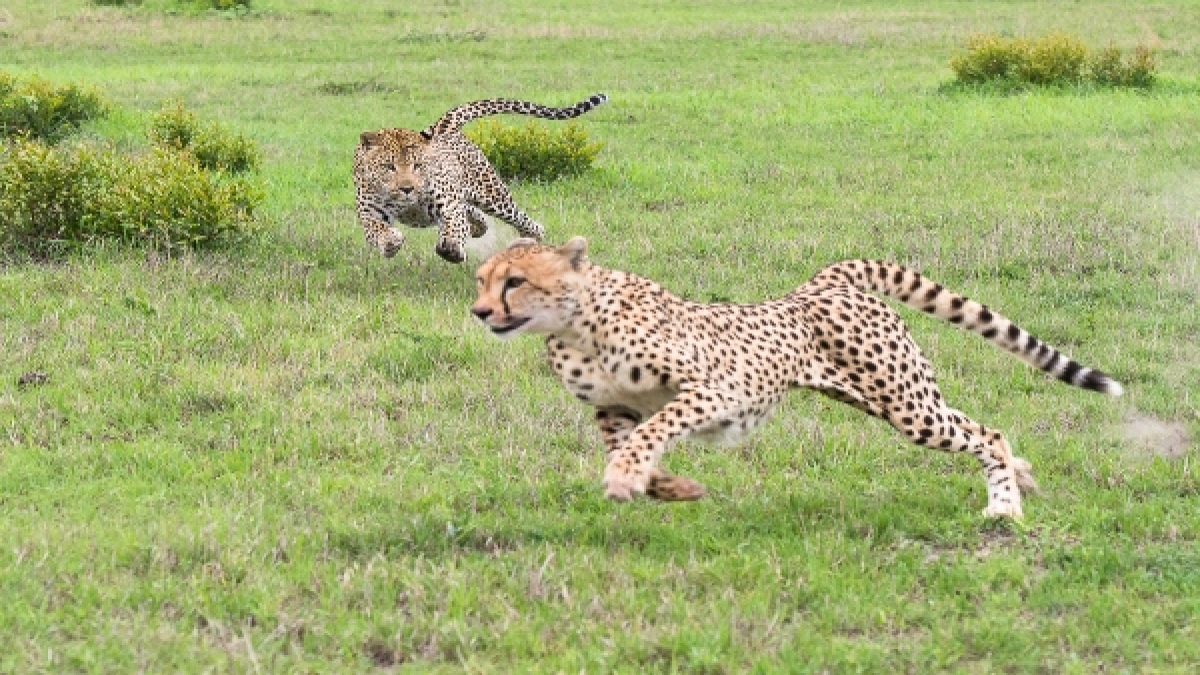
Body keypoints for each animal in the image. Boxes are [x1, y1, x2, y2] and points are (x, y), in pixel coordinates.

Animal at [353, 94, 607, 264]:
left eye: (418, 166)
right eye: (389, 167)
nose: (407, 189)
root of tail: (442, 128)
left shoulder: (448, 204)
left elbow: (454, 225)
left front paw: (451, 248)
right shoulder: (370, 211)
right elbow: (375, 228)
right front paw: (389, 242)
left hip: (494, 196)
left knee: (524, 221)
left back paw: (532, 240)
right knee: (475, 214)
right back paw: (479, 229)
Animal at [469, 237, 1124, 519]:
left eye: (514, 282)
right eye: (481, 280)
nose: (478, 312)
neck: (579, 326)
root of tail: (819, 285)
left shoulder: (716, 388)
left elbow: (653, 432)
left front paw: (630, 477)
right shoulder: (612, 409)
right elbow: (632, 441)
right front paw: (672, 487)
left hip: (906, 405)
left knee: (986, 433)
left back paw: (1005, 507)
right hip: (896, 399)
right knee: (983, 429)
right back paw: (1022, 478)